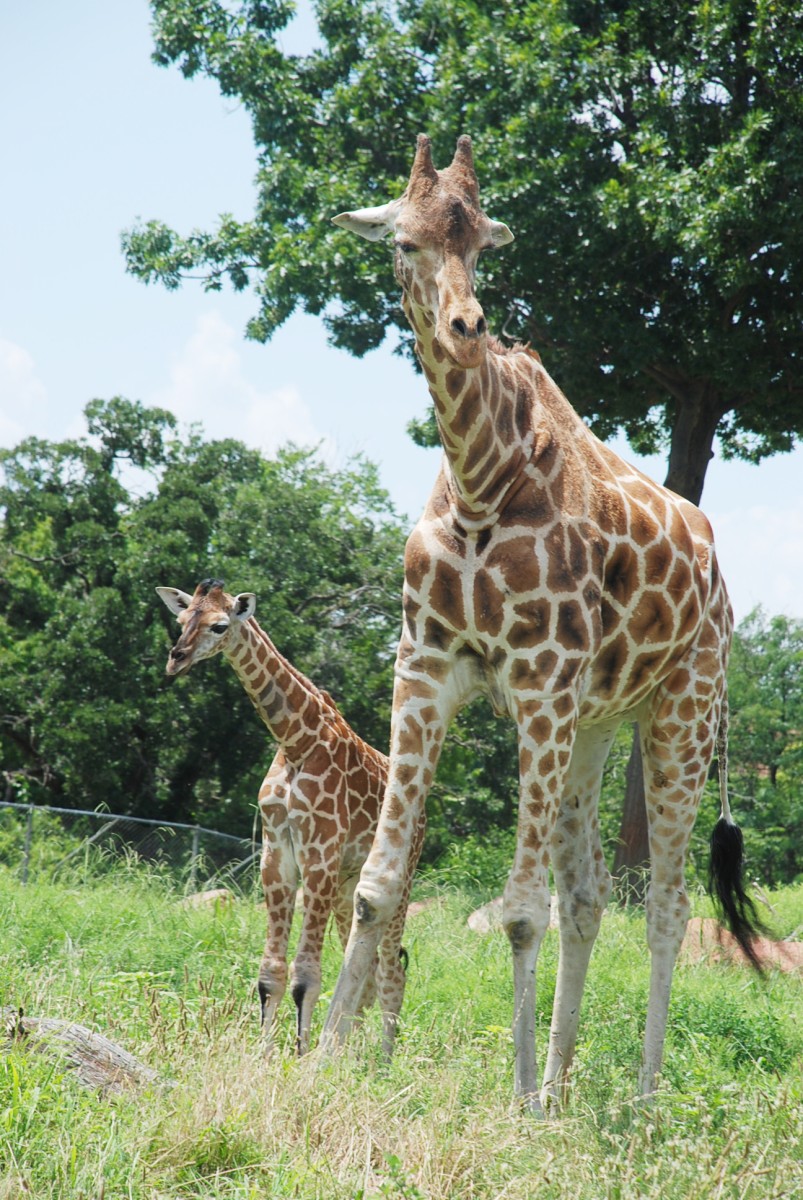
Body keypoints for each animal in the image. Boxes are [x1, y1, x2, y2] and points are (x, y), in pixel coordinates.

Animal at [156, 579, 423, 1056]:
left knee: (392, 974)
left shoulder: (319, 853)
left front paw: (298, 1056)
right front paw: (264, 1055)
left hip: (401, 878)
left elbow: (306, 975)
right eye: (182, 619)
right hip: (348, 886)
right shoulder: (276, 855)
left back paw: (382, 1062)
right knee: (367, 973)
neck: (295, 740)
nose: (176, 659)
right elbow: (271, 972)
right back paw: (348, 1055)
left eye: (220, 625)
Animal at [320, 135, 761, 1113]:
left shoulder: (539, 680)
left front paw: (514, 1099)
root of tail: (720, 590)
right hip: (594, 724)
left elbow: (520, 912)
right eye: (402, 242)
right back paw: (562, 1090)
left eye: (482, 244)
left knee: (665, 903)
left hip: (678, 713)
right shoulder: (424, 665)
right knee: (590, 897)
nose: (465, 326)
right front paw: (313, 1061)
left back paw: (640, 1100)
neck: (482, 482)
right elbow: (377, 885)